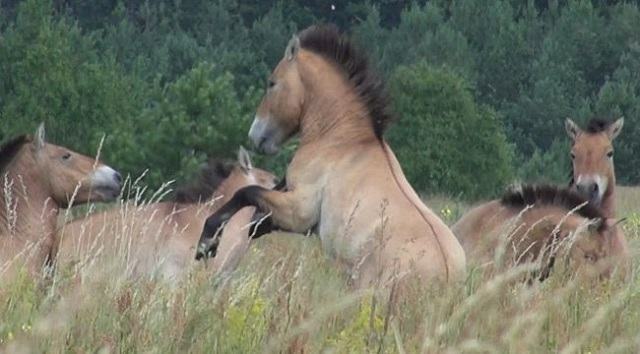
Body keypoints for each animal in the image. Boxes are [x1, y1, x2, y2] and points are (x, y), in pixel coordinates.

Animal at [195, 24, 464, 286]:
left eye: (272, 83)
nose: (256, 137)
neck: (338, 139)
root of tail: (446, 276)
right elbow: (255, 213)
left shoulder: (299, 211)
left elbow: (246, 193)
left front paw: (207, 242)